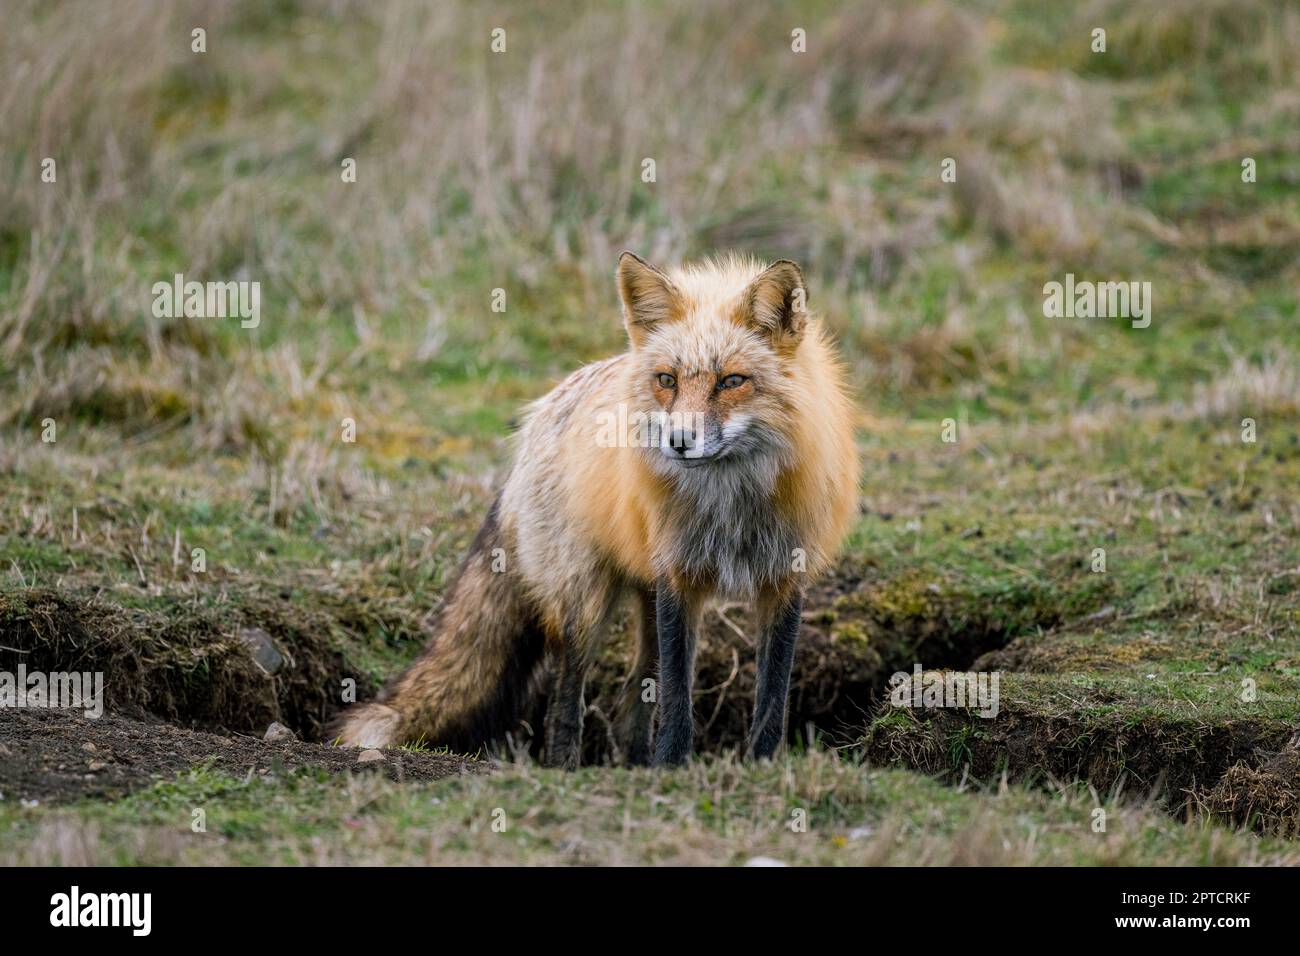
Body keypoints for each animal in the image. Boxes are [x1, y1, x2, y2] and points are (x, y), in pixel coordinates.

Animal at [331, 252, 859, 767]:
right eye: (667, 380)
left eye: (732, 381)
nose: (679, 441)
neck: (731, 506)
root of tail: (542, 412)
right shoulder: (678, 577)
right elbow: (677, 696)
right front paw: (673, 767)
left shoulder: (782, 580)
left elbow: (771, 695)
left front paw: (762, 766)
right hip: (583, 603)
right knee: (565, 701)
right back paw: (566, 766)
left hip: (645, 599)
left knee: (631, 696)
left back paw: (635, 761)